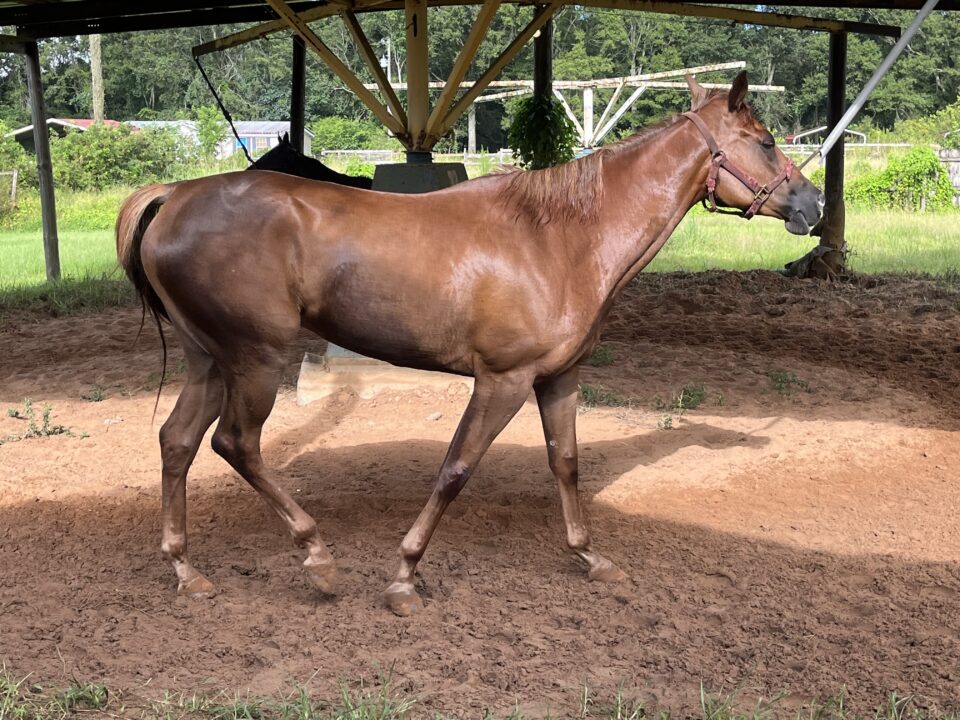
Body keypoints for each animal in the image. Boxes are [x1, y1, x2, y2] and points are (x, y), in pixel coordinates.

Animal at [116, 73, 823, 616]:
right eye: (765, 142)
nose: (813, 205)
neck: (561, 237)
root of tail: (174, 196)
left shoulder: (558, 379)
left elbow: (566, 463)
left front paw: (590, 557)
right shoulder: (502, 381)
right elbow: (456, 468)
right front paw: (405, 577)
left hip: (210, 361)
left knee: (176, 442)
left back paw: (187, 571)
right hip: (256, 359)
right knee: (235, 444)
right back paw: (317, 557)